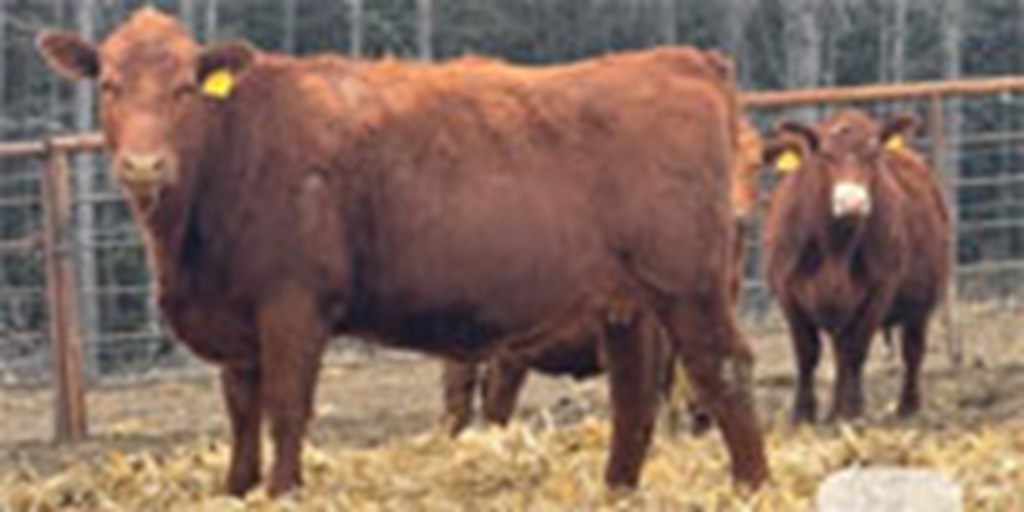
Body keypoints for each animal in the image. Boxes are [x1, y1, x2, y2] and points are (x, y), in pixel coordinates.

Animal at [762, 109, 951, 423]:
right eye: (825, 155)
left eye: (873, 154)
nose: (852, 200)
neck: (836, 247)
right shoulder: (786, 290)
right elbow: (807, 352)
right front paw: (803, 412)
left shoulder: (880, 289)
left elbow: (857, 348)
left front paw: (852, 410)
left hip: (922, 301)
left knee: (912, 349)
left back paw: (906, 405)